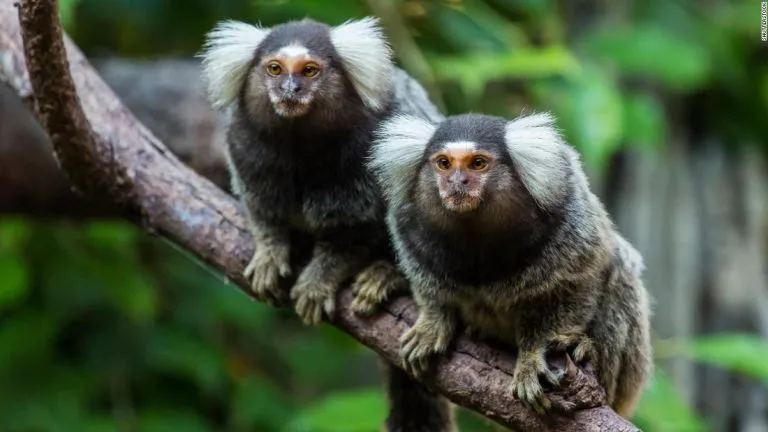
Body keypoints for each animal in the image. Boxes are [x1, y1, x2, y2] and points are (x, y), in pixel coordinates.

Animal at [198, 17, 456, 432]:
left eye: (309, 71)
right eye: (274, 69)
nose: (289, 89)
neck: (300, 144)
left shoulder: (365, 156)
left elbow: (355, 232)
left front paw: (319, 280)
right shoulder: (246, 147)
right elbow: (263, 212)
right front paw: (270, 253)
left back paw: (386, 276)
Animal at [362, 111, 653, 419]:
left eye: (478, 163)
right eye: (444, 163)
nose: (456, 181)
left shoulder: (570, 218)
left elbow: (579, 283)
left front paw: (532, 357)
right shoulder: (407, 224)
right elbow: (425, 279)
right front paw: (433, 321)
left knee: (621, 268)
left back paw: (588, 351)